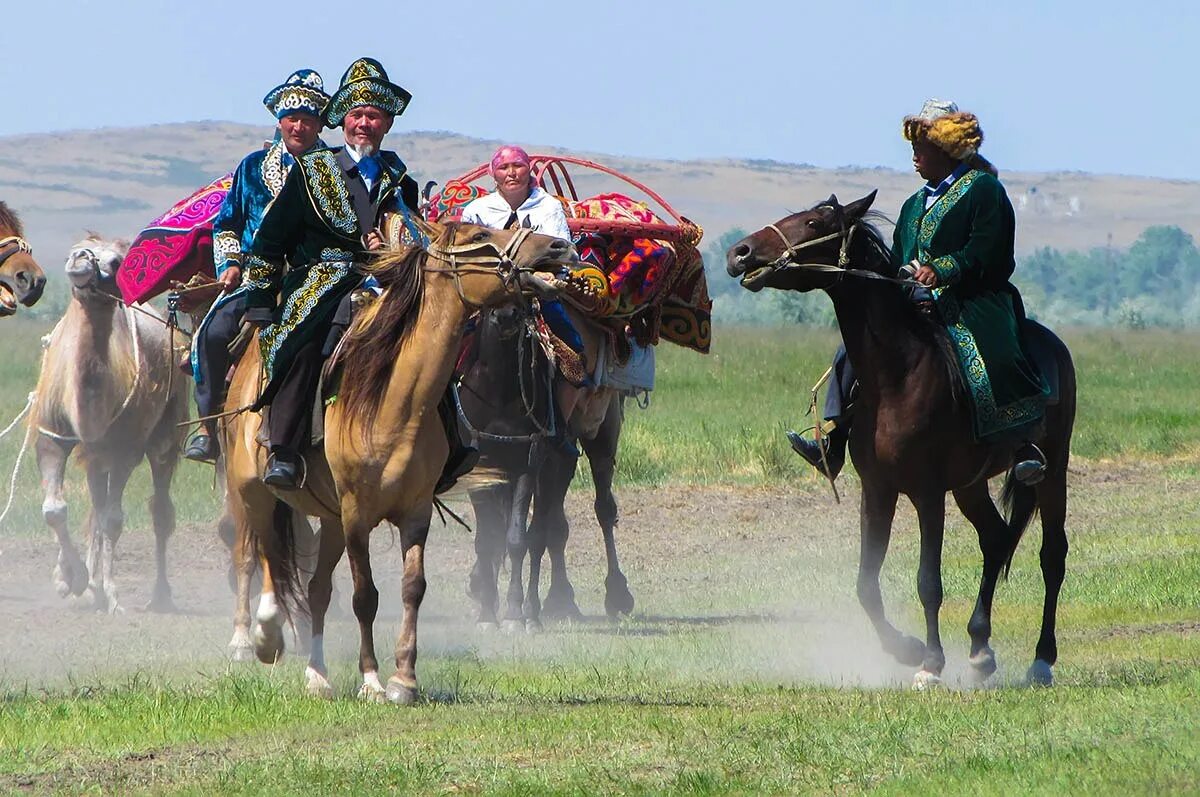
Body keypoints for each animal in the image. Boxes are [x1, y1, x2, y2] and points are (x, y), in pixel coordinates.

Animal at [33, 234, 189, 612]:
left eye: (117, 261)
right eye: (74, 248)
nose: (80, 258)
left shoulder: (125, 449)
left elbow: (114, 520)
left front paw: (112, 596)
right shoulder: (52, 435)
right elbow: (55, 510)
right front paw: (71, 579)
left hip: (166, 433)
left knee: (159, 509)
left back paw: (159, 595)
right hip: (96, 452)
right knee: (96, 504)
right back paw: (92, 586)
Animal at [228, 220, 576, 700]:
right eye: (480, 235)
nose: (559, 246)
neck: (393, 402)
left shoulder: (414, 511)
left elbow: (413, 588)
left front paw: (403, 678)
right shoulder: (357, 515)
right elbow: (364, 596)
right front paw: (372, 679)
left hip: (330, 518)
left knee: (316, 589)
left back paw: (317, 674)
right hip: (254, 491)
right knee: (266, 554)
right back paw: (263, 636)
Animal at [458, 303, 633, 628]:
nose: (505, 317)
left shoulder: (530, 458)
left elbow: (518, 538)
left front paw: (515, 614)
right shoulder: (482, 465)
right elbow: (488, 538)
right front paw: (487, 611)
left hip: (601, 434)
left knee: (602, 508)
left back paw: (613, 594)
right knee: (550, 523)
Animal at [724, 192, 1075, 686]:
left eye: (813, 223)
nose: (739, 253)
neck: (899, 373)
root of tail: (1054, 345)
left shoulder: (927, 493)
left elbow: (929, 582)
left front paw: (930, 664)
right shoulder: (878, 490)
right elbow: (865, 584)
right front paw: (904, 649)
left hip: (1052, 471)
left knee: (1052, 556)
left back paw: (1042, 660)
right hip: (970, 486)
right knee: (995, 539)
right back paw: (980, 648)